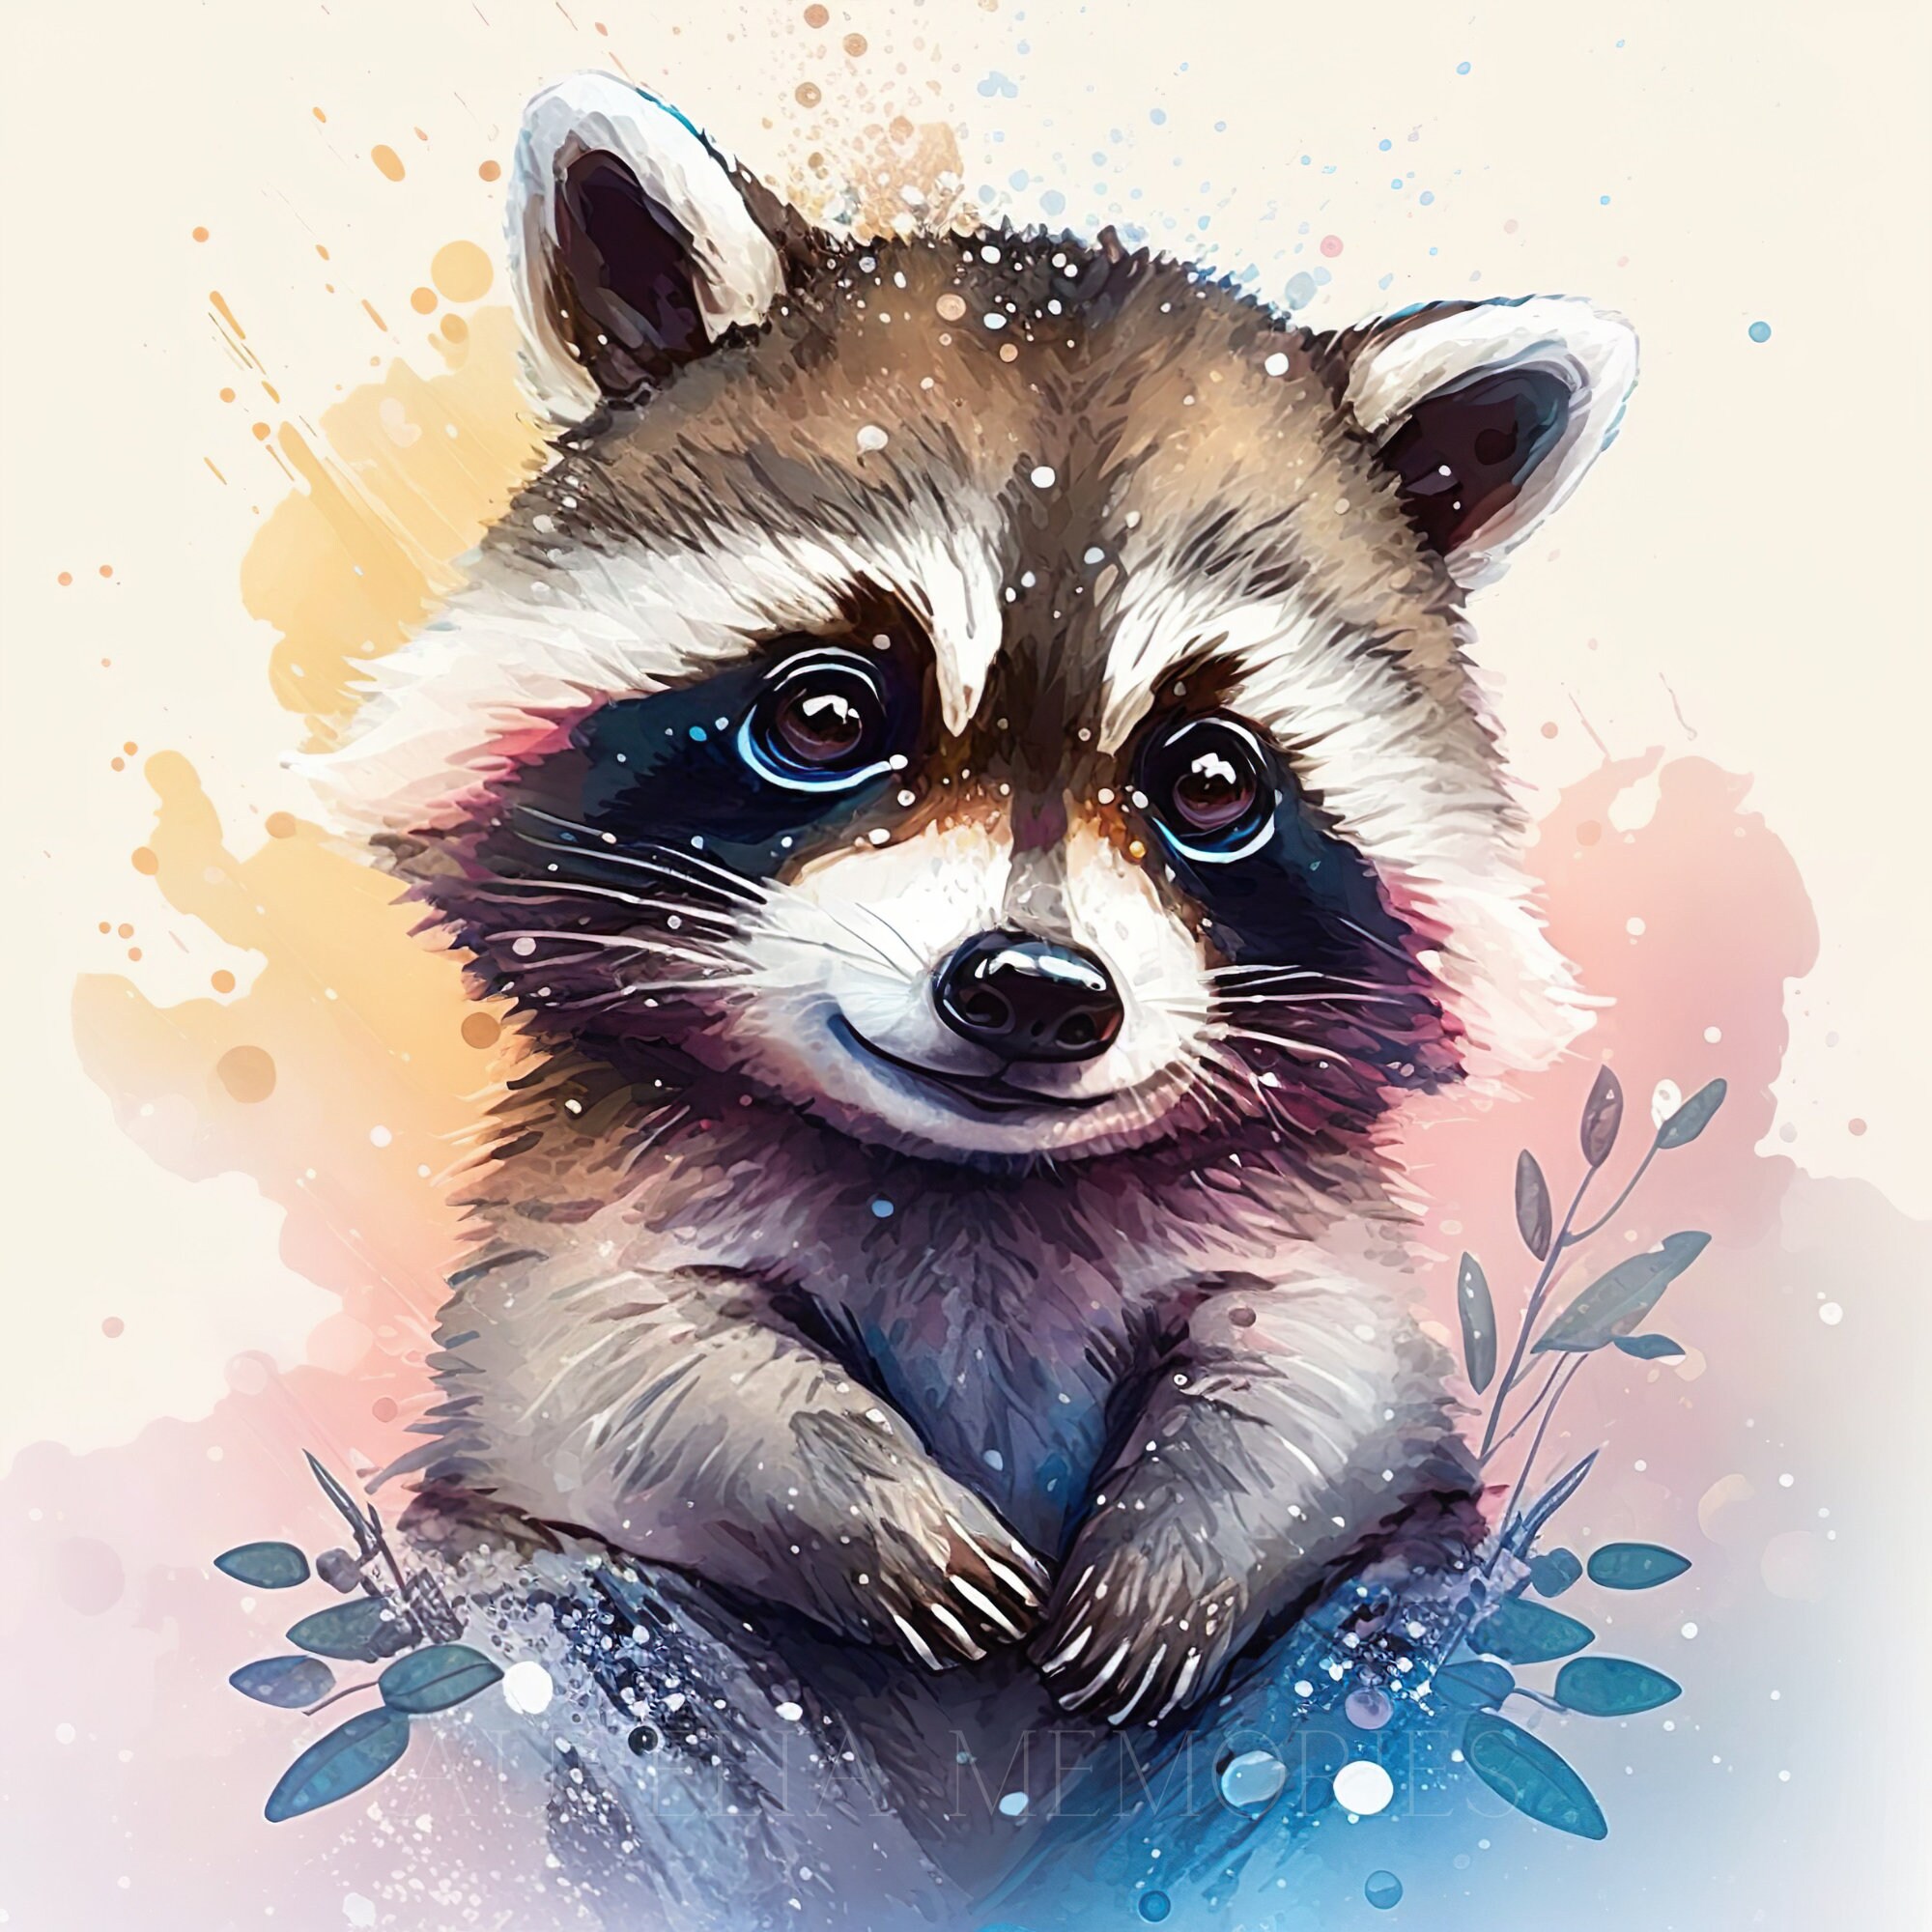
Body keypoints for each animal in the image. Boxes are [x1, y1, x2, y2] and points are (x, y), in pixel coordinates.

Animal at [321, 68, 1634, 1876]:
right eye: (824, 711)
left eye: (1209, 777)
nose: (1031, 988)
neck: (966, 1175)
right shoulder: (586, 1200)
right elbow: (617, 1363)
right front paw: (872, 1510)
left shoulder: (1315, 1245)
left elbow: (1321, 1388)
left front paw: (1182, 1557)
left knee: (1393, 1636)